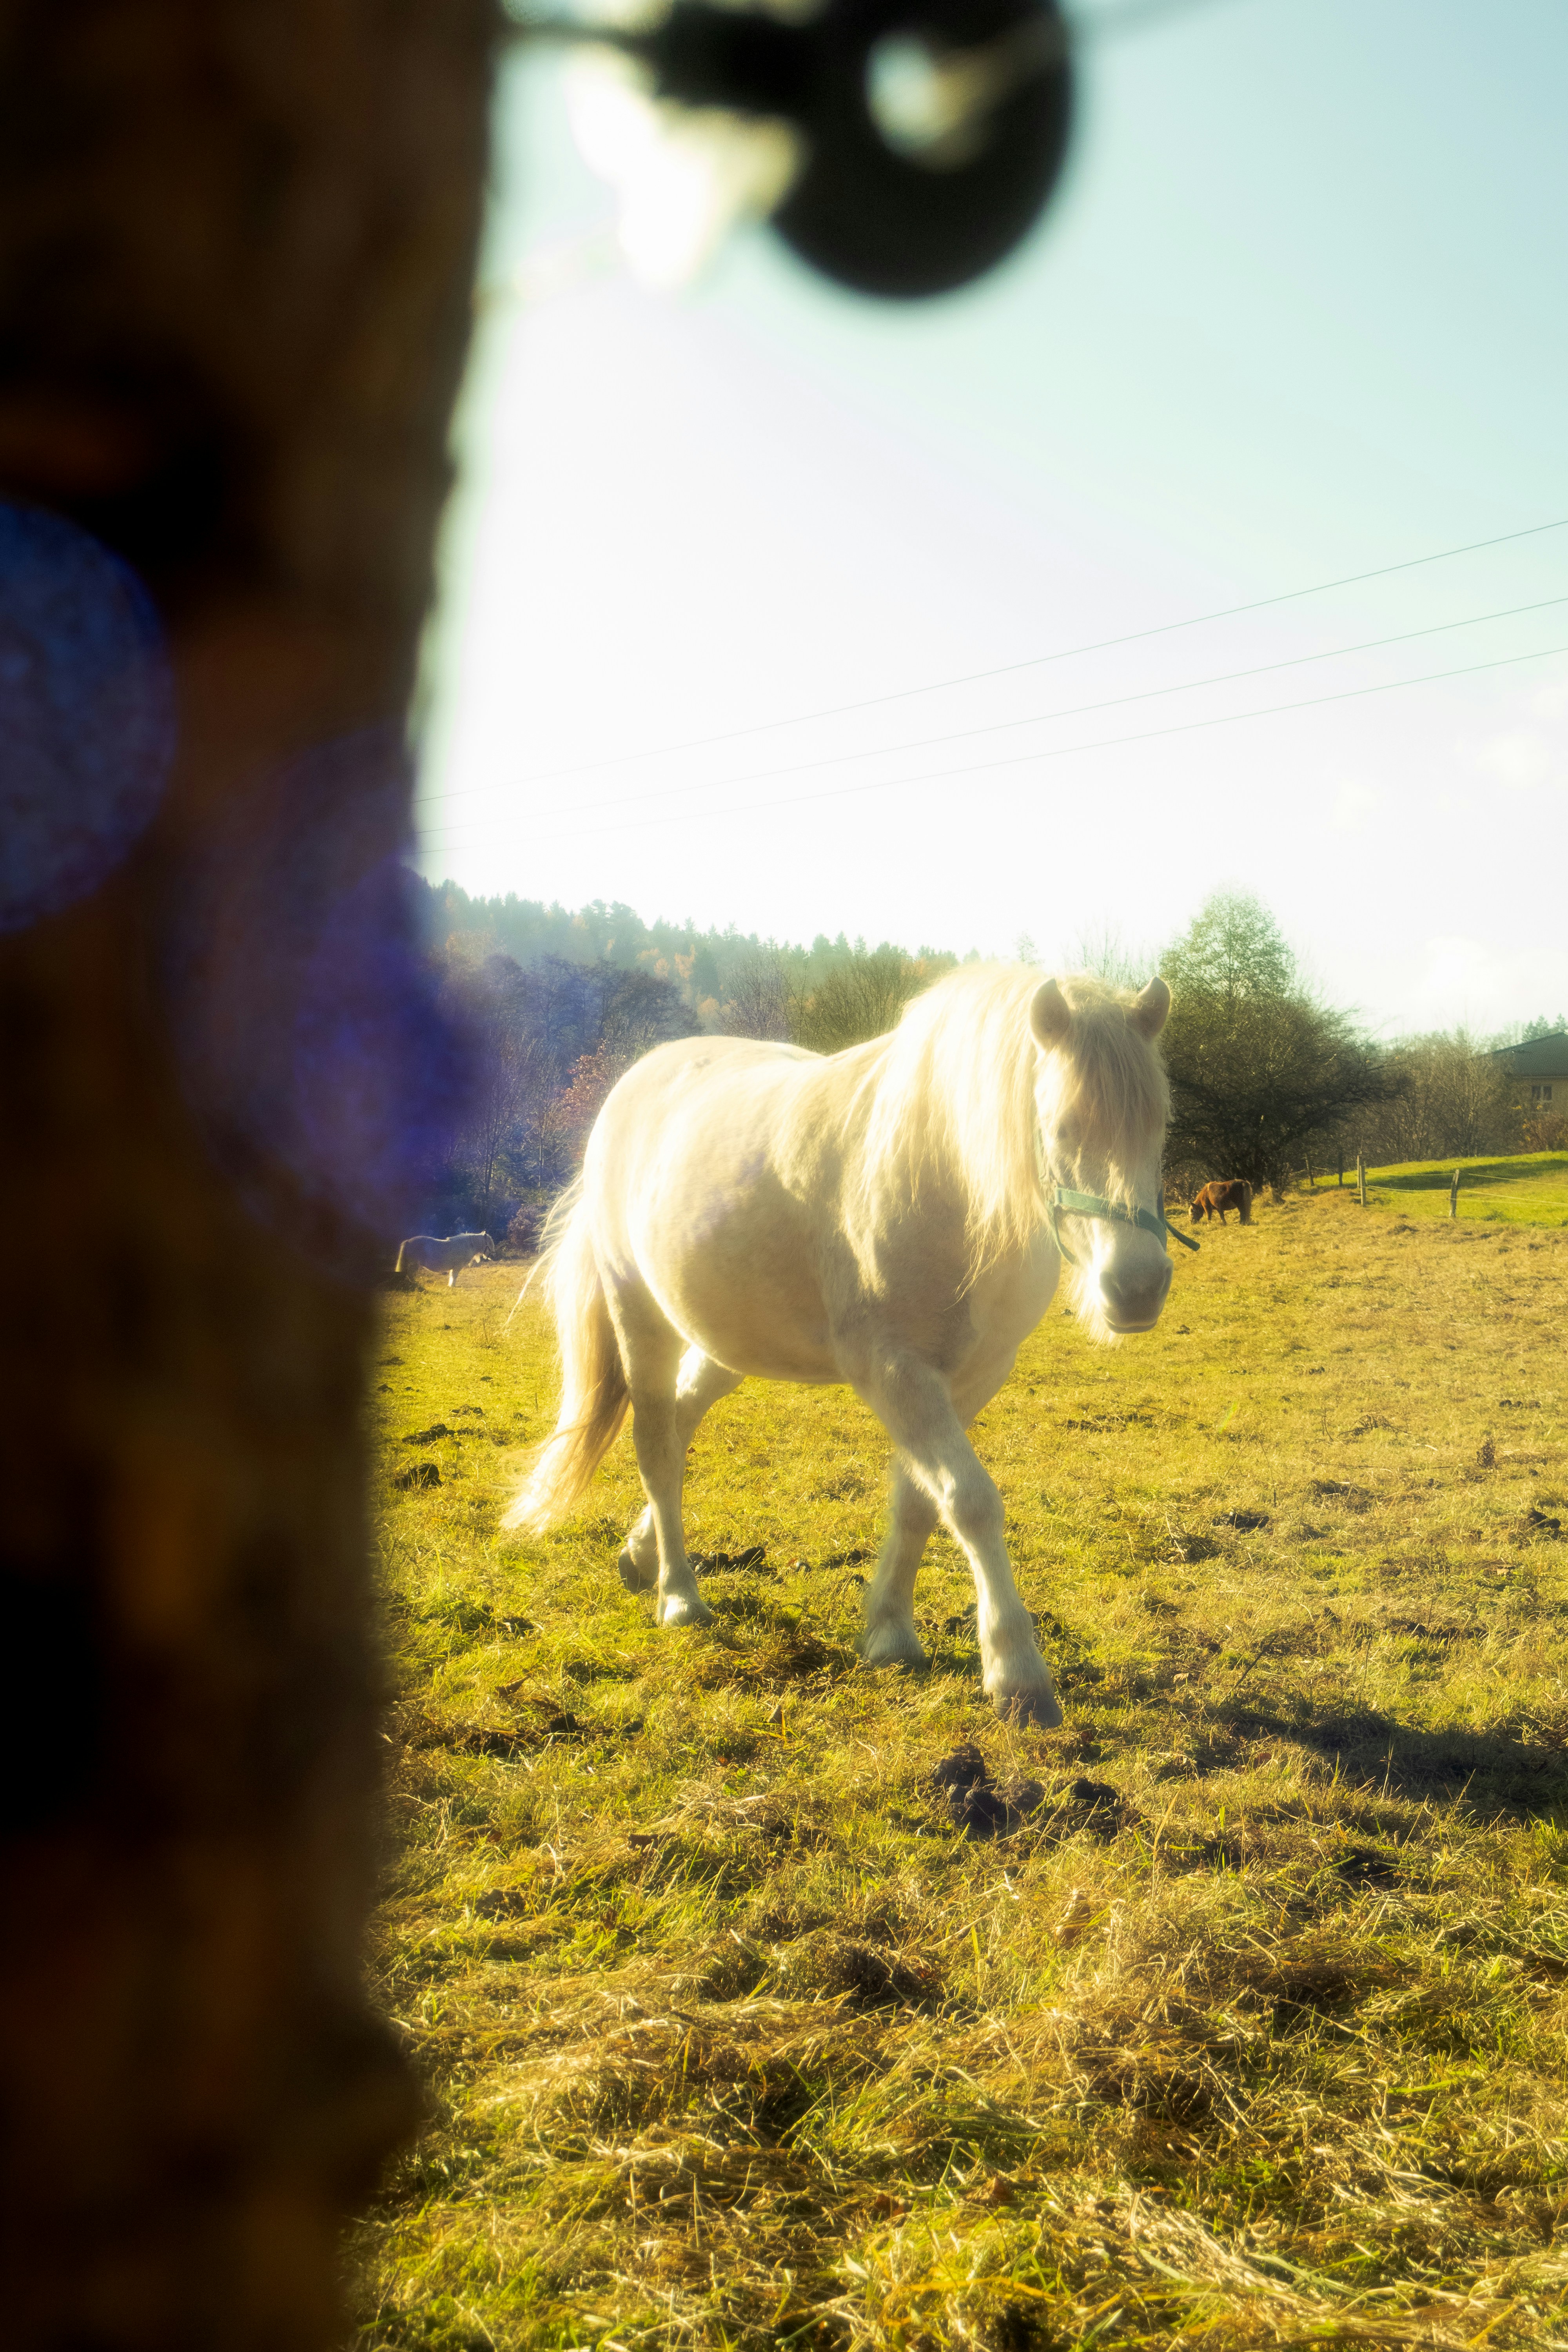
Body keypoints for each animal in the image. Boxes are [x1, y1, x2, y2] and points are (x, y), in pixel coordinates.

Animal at [394, 1232, 494, 1286]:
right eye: (489, 1242)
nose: (493, 1255)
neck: (467, 1245)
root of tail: (408, 1241)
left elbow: (452, 1276)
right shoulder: (458, 1267)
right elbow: (454, 1276)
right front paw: (452, 1286)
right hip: (413, 1265)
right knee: (411, 1275)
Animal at [505, 966, 1185, 1724]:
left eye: (1158, 1124)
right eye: (1061, 1127)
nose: (1137, 1288)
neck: (946, 1179)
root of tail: (634, 1085)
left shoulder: (974, 1375)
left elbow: (921, 1501)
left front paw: (890, 1633)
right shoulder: (895, 1371)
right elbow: (970, 1500)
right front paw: (1017, 1673)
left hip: (730, 1341)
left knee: (681, 1421)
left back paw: (640, 1555)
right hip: (641, 1317)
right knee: (655, 1444)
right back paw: (679, 1595)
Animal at [1189, 1180, 1252, 1225]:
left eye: (1193, 1212)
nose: (1191, 1222)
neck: (1204, 1194)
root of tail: (1244, 1183)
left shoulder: (1207, 1208)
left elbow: (1209, 1216)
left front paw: (1209, 1224)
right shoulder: (1219, 1209)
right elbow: (1222, 1216)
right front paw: (1224, 1223)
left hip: (1240, 1204)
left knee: (1243, 1213)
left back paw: (1241, 1223)